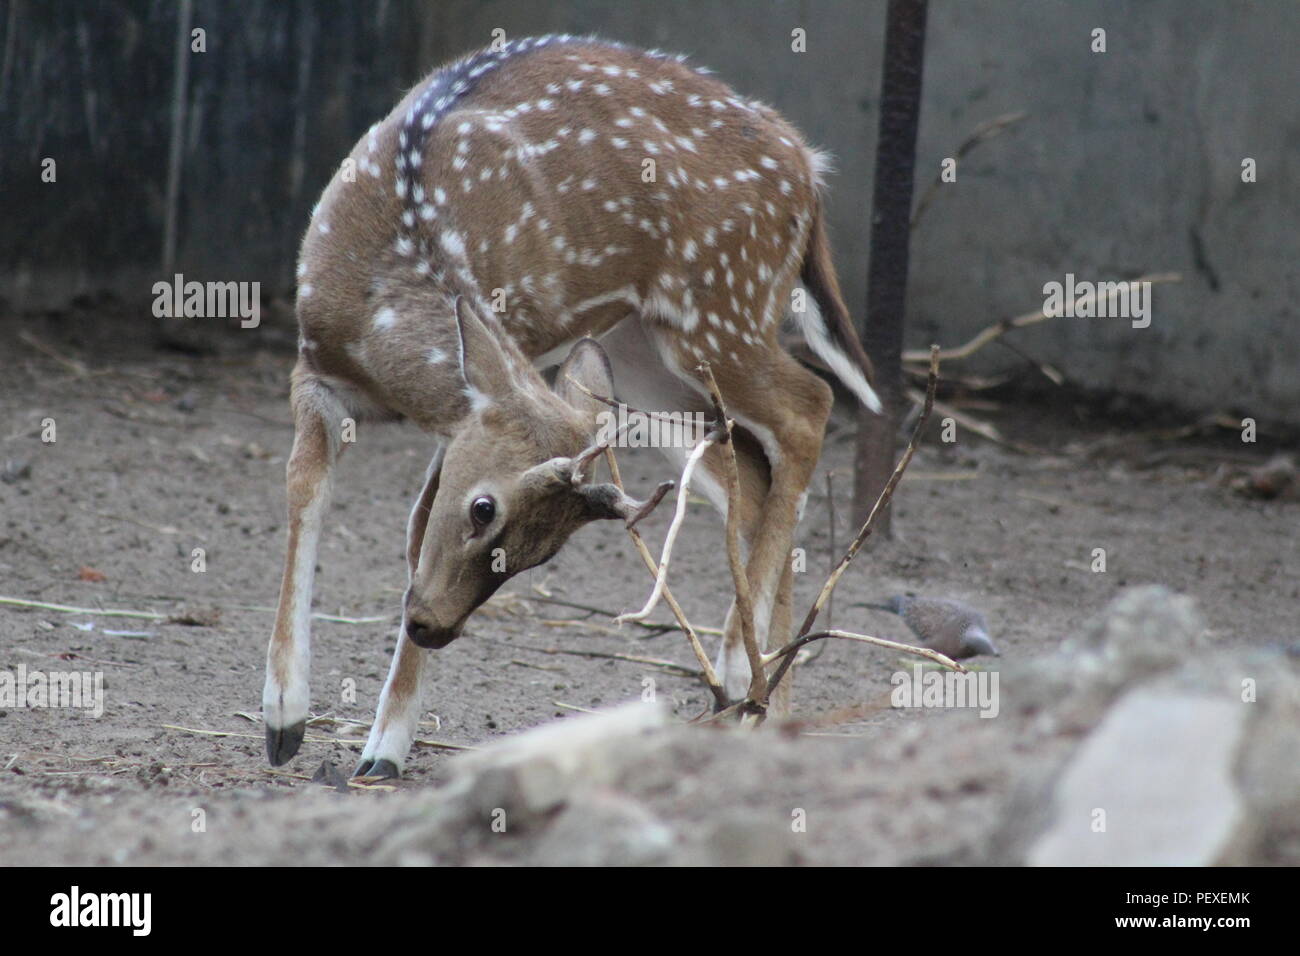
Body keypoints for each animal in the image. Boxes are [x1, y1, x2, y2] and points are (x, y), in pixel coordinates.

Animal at [262, 34, 881, 779]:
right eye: (485, 509)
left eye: (543, 555)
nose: (432, 627)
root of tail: (810, 167)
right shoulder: (313, 368)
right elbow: (305, 491)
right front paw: (282, 719)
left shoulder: (486, 373)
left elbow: (412, 524)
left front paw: (383, 749)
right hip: (641, 355)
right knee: (751, 470)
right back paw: (765, 705)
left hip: (721, 307)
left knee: (808, 405)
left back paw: (738, 665)